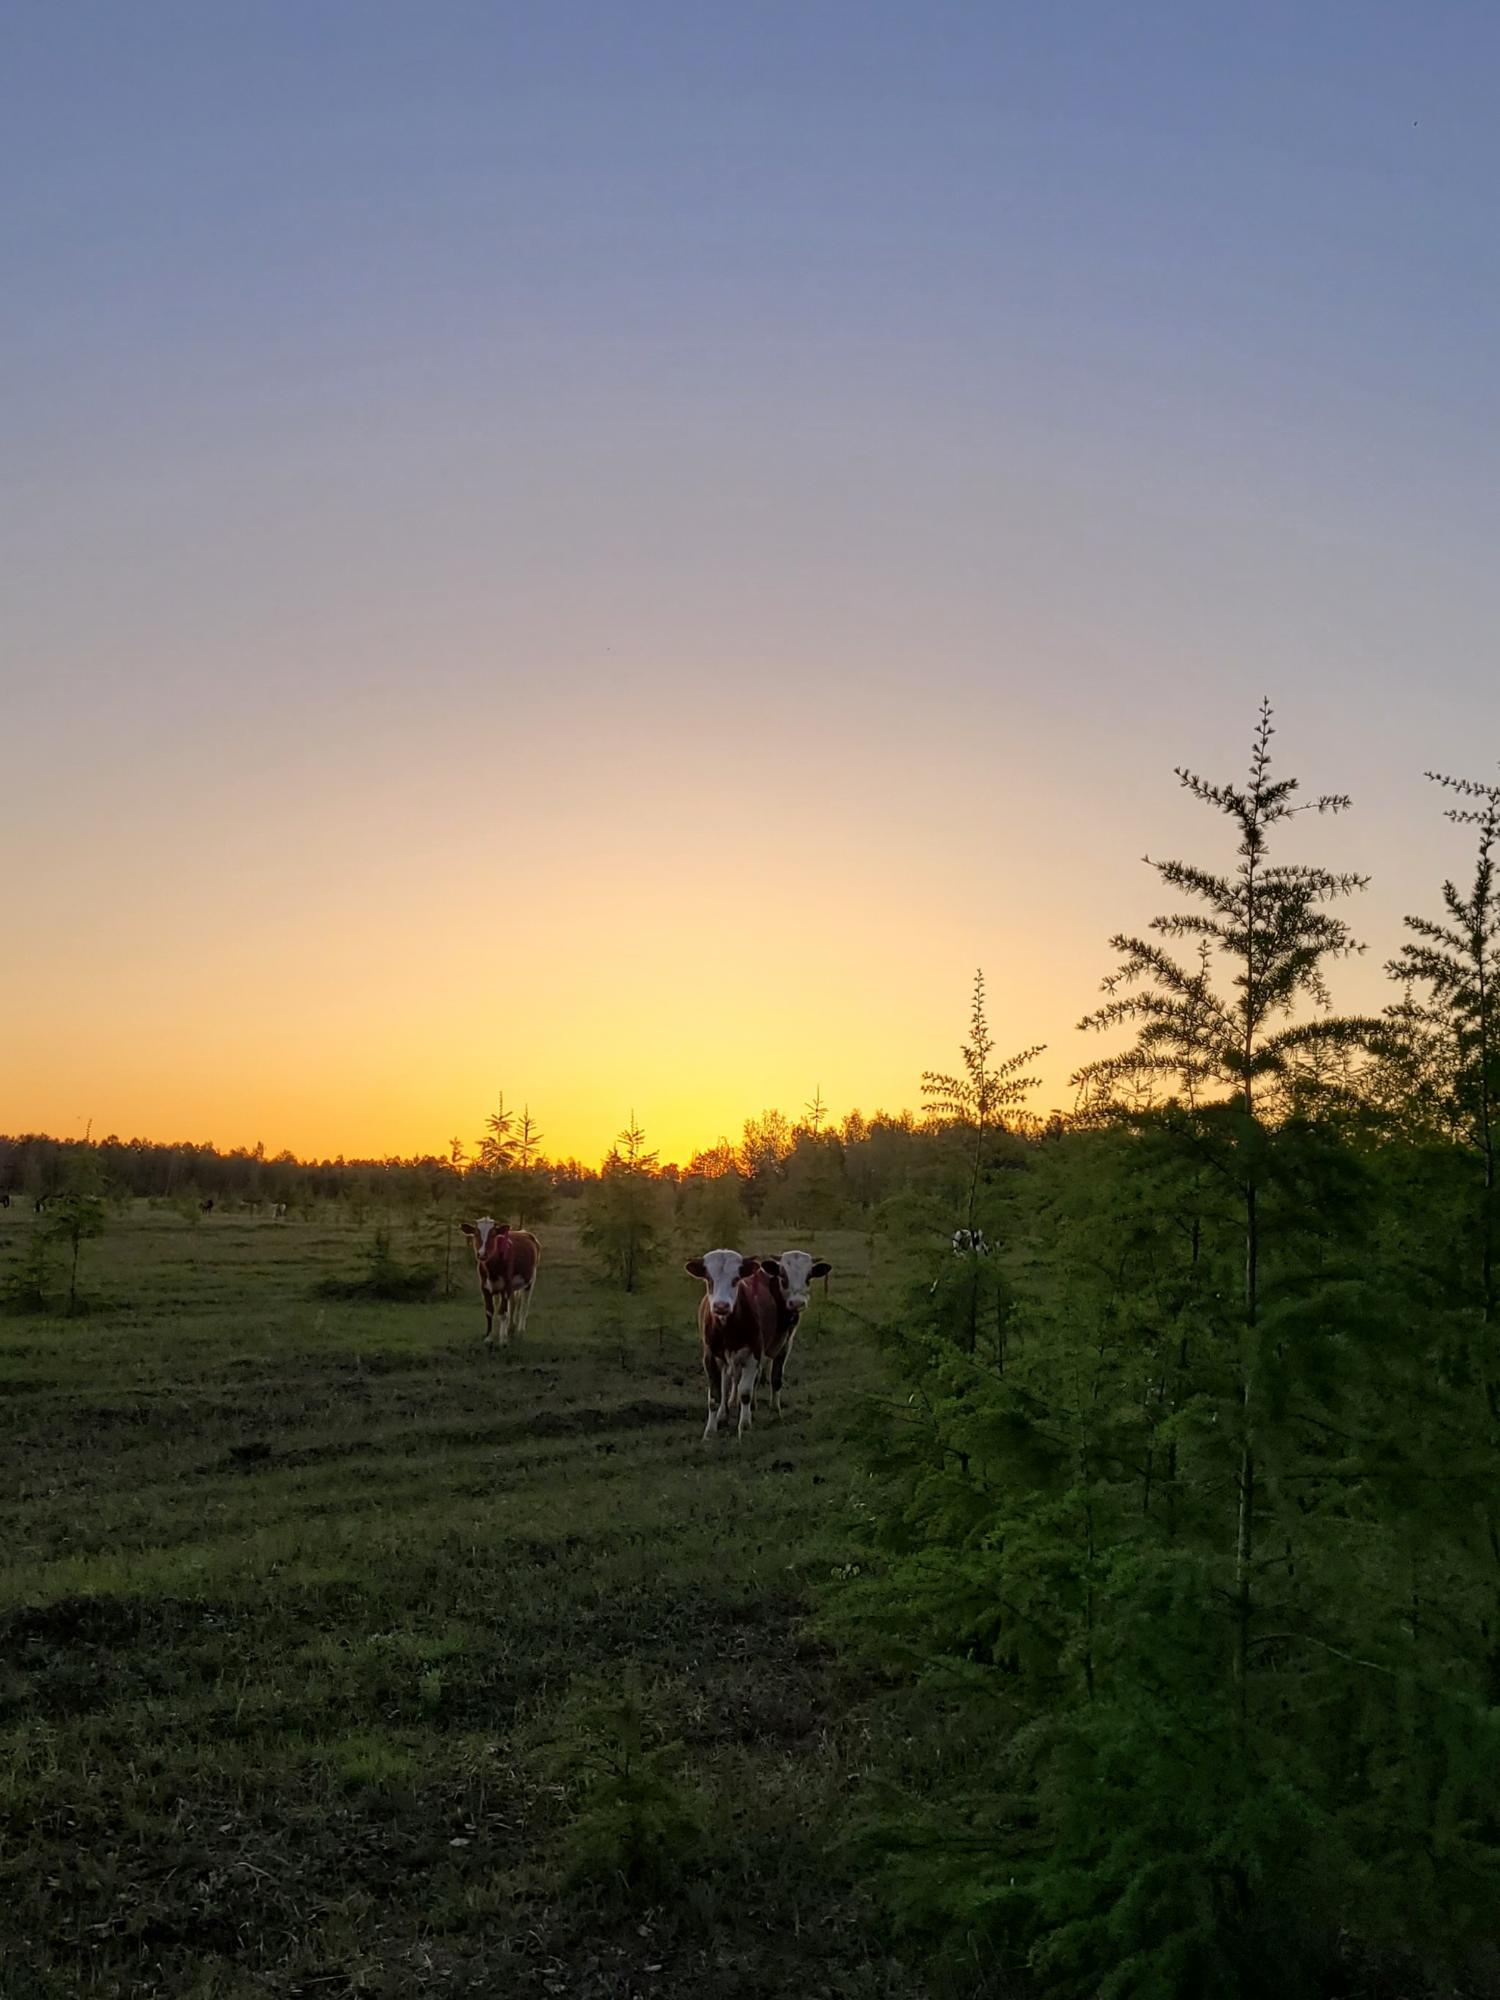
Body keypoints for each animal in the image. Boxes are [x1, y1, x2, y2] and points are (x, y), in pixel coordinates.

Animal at [468, 1216, 548, 1344]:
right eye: (475, 1234)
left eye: (493, 1234)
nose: (482, 1254)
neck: (492, 1269)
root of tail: (524, 1232)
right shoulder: (484, 1287)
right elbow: (489, 1311)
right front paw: (489, 1338)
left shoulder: (506, 1287)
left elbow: (503, 1313)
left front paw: (502, 1341)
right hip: (512, 1286)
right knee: (514, 1303)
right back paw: (510, 1329)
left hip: (530, 1280)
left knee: (524, 1305)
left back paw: (520, 1331)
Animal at [684, 1248, 780, 1440]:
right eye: (709, 1279)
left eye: (736, 1279)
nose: (721, 1306)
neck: (727, 1329)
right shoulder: (710, 1357)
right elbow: (715, 1396)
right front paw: (709, 1432)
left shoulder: (753, 1356)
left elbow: (745, 1393)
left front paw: (745, 1427)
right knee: (725, 1384)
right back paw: (722, 1415)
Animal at [756, 1256, 840, 1416]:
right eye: (782, 1276)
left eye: (809, 1276)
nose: (797, 1303)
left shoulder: (786, 1343)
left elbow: (777, 1376)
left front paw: (776, 1409)